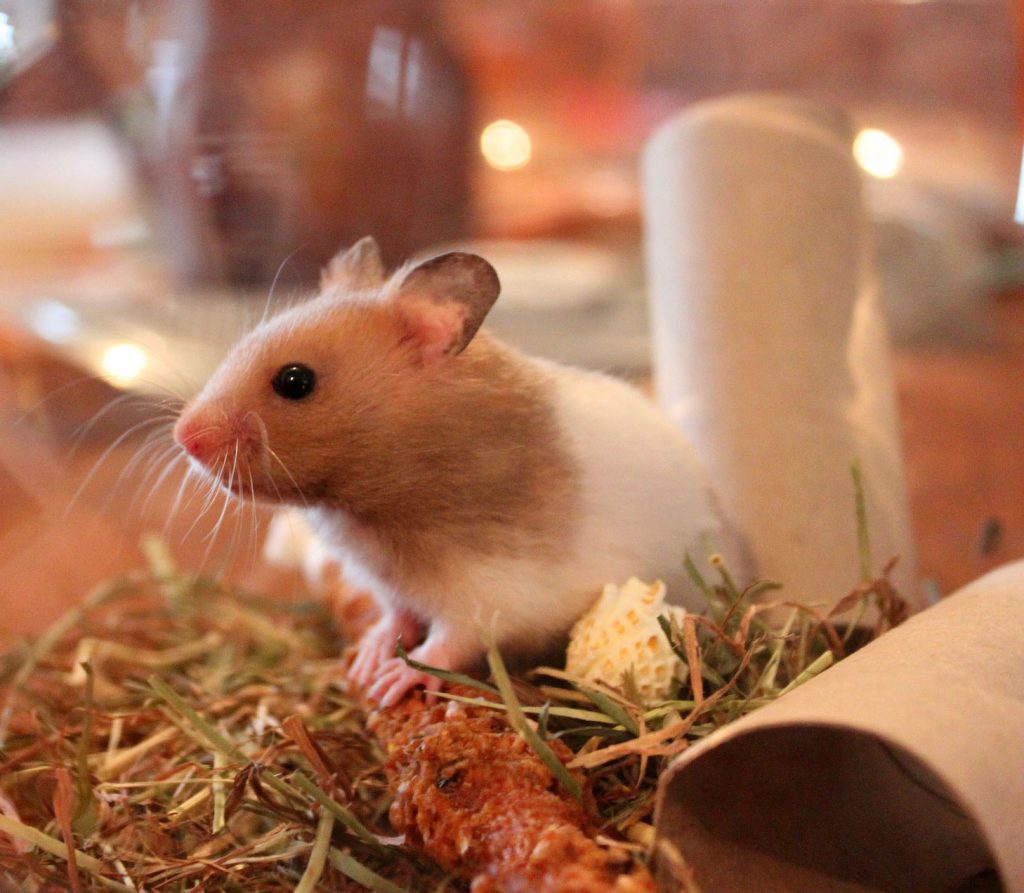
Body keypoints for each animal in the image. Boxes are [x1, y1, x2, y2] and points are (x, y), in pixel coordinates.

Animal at [173, 237, 739, 706]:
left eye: (295, 381)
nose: (184, 437)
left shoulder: (491, 598)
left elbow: (448, 644)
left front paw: (389, 682)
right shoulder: (390, 585)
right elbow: (396, 618)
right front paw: (365, 663)